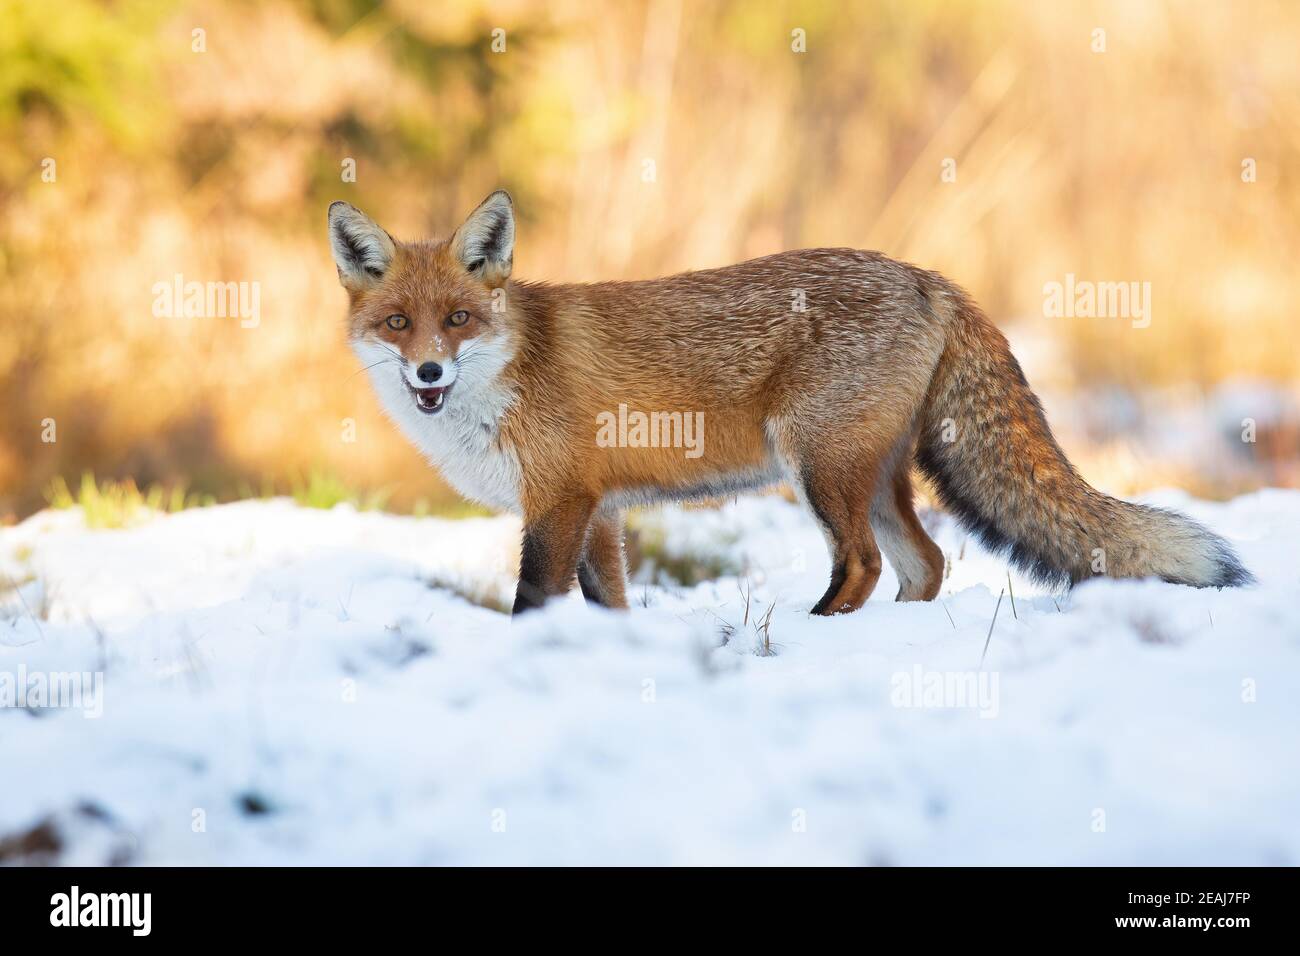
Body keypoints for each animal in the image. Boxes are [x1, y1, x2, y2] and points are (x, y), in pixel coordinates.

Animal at [329, 190, 1251, 615]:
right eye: (398, 323)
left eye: (457, 320)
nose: (428, 375)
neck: (512, 372)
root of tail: (930, 276)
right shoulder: (602, 511)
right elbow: (607, 603)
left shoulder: (559, 502)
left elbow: (532, 602)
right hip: (871, 477)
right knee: (927, 563)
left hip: (820, 468)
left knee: (866, 566)